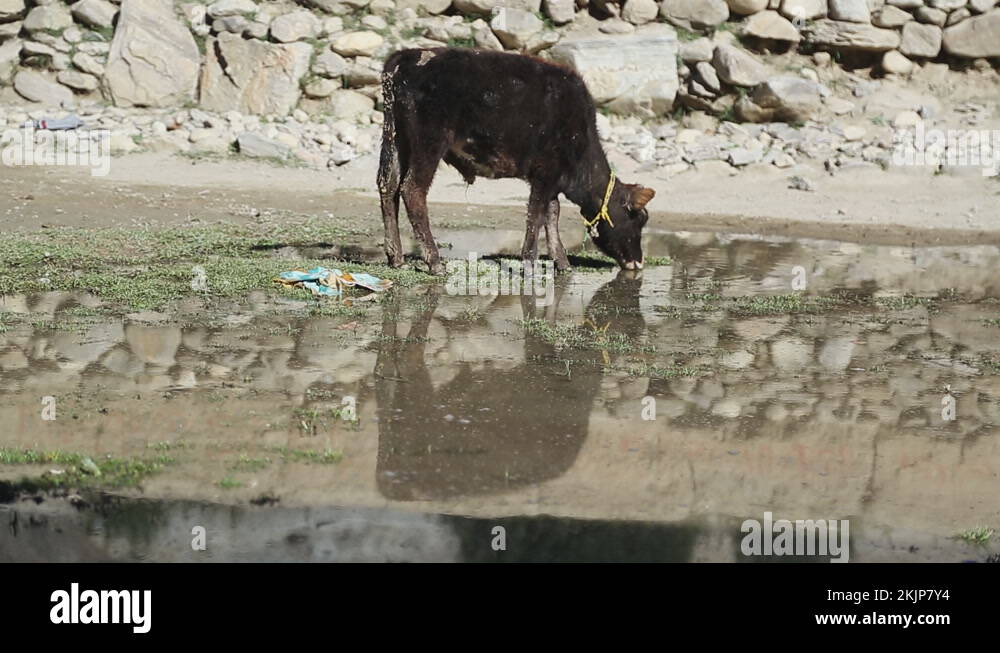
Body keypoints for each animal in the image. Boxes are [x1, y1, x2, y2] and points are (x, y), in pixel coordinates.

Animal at [377, 47, 656, 276]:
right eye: (637, 218)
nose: (638, 262)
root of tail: (405, 56)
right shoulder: (544, 174)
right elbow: (536, 215)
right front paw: (530, 263)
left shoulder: (551, 180)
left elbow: (552, 214)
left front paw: (562, 262)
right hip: (430, 143)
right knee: (412, 190)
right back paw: (434, 262)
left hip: (395, 139)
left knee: (387, 186)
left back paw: (396, 257)